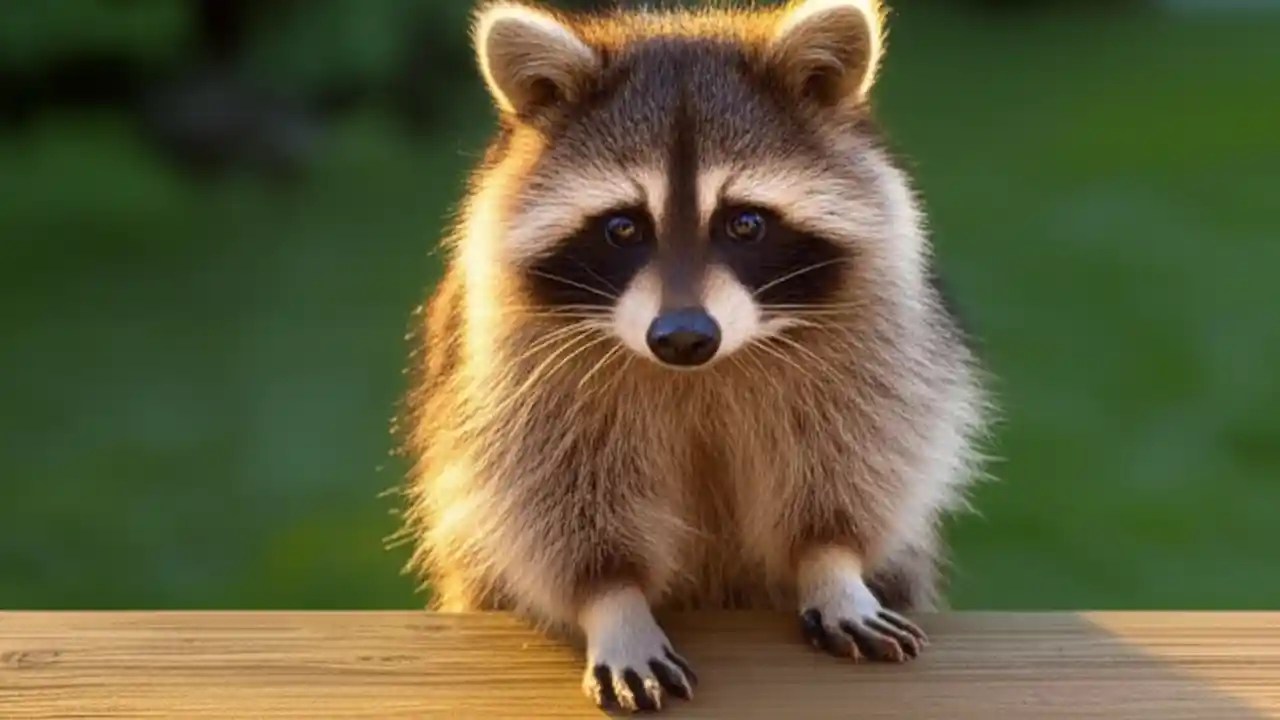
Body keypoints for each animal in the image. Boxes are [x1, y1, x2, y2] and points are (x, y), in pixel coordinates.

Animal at [402, 0, 991, 712]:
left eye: (745, 223)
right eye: (623, 228)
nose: (683, 337)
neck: (700, 370)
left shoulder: (870, 339)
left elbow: (850, 460)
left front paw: (831, 564)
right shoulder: (520, 371)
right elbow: (553, 495)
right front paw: (615, 603)